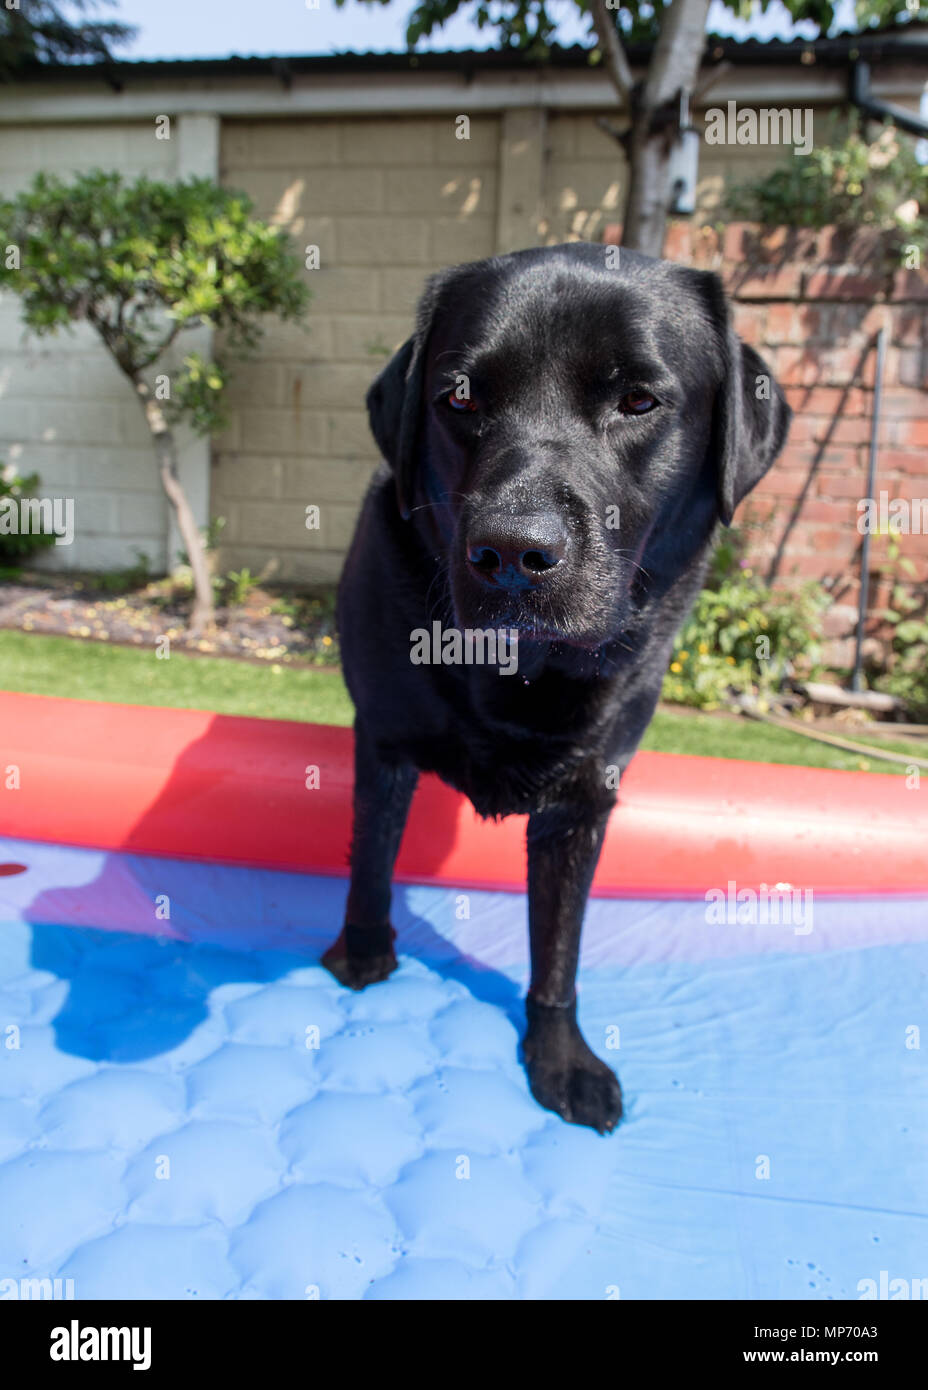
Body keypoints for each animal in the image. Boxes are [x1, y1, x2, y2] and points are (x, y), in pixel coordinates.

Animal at [326, 241, 789, 1128]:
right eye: (459, 397)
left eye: (638, 400)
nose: (512, 551)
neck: (521, 670)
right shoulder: (384, 739)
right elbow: (371, 856)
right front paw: (361, 950)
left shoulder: (586, 797)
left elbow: (560, 946)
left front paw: (559, 1057)